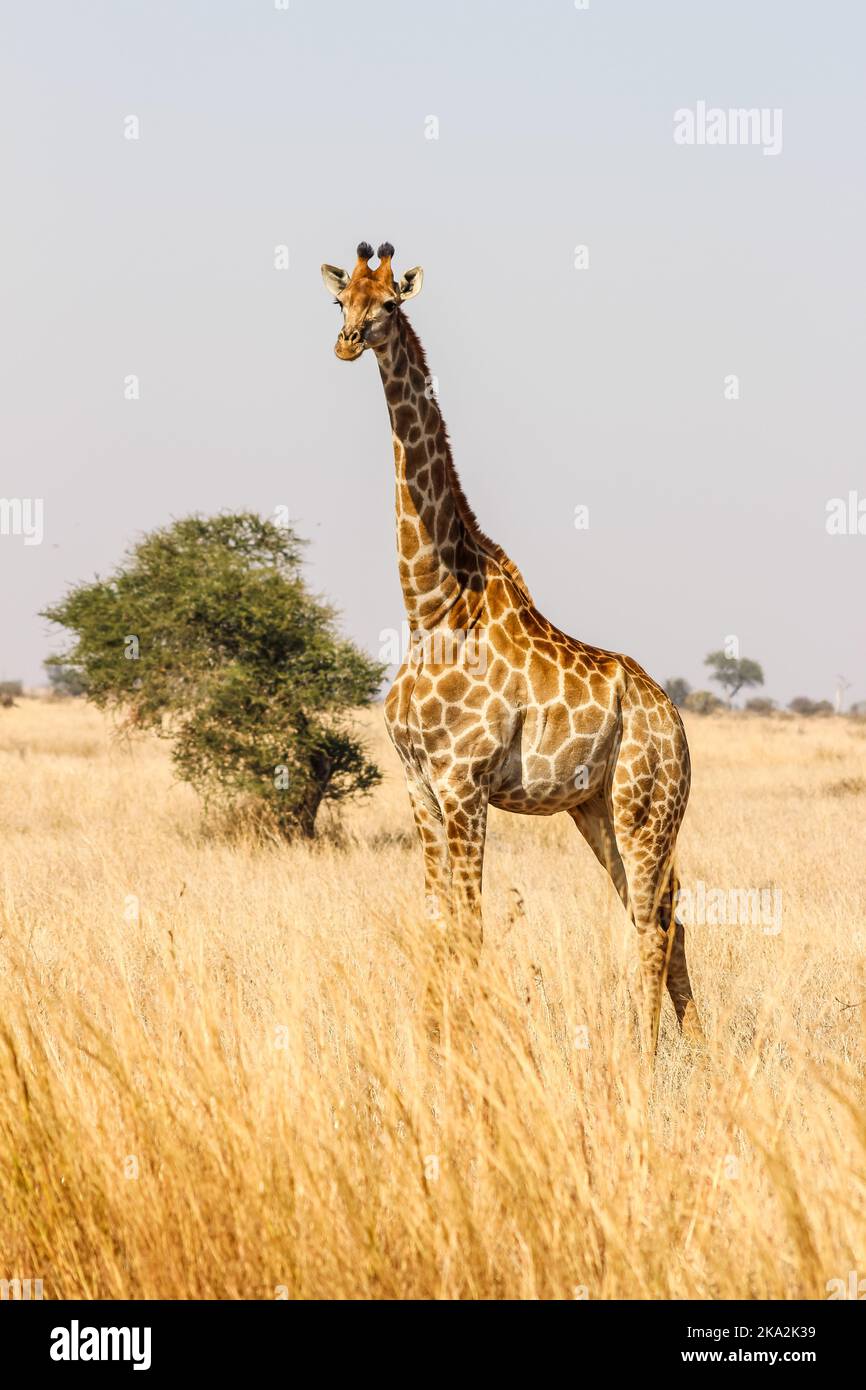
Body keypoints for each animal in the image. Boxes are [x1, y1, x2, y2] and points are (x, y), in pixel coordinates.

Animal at [321, 241, 704, 1054]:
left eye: (390, 304)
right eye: (340, 301)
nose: (347, 342)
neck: (429, 607)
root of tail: (674, 722)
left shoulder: (465, 784)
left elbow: (468, 929)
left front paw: (468, 1051)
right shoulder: (420, 788)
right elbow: (438, 924)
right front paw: (435, 1045)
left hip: (645, 804)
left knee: (654, 923)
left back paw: (641, 1056)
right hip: (597, 809)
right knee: (666, 916)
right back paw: (701, 1052)